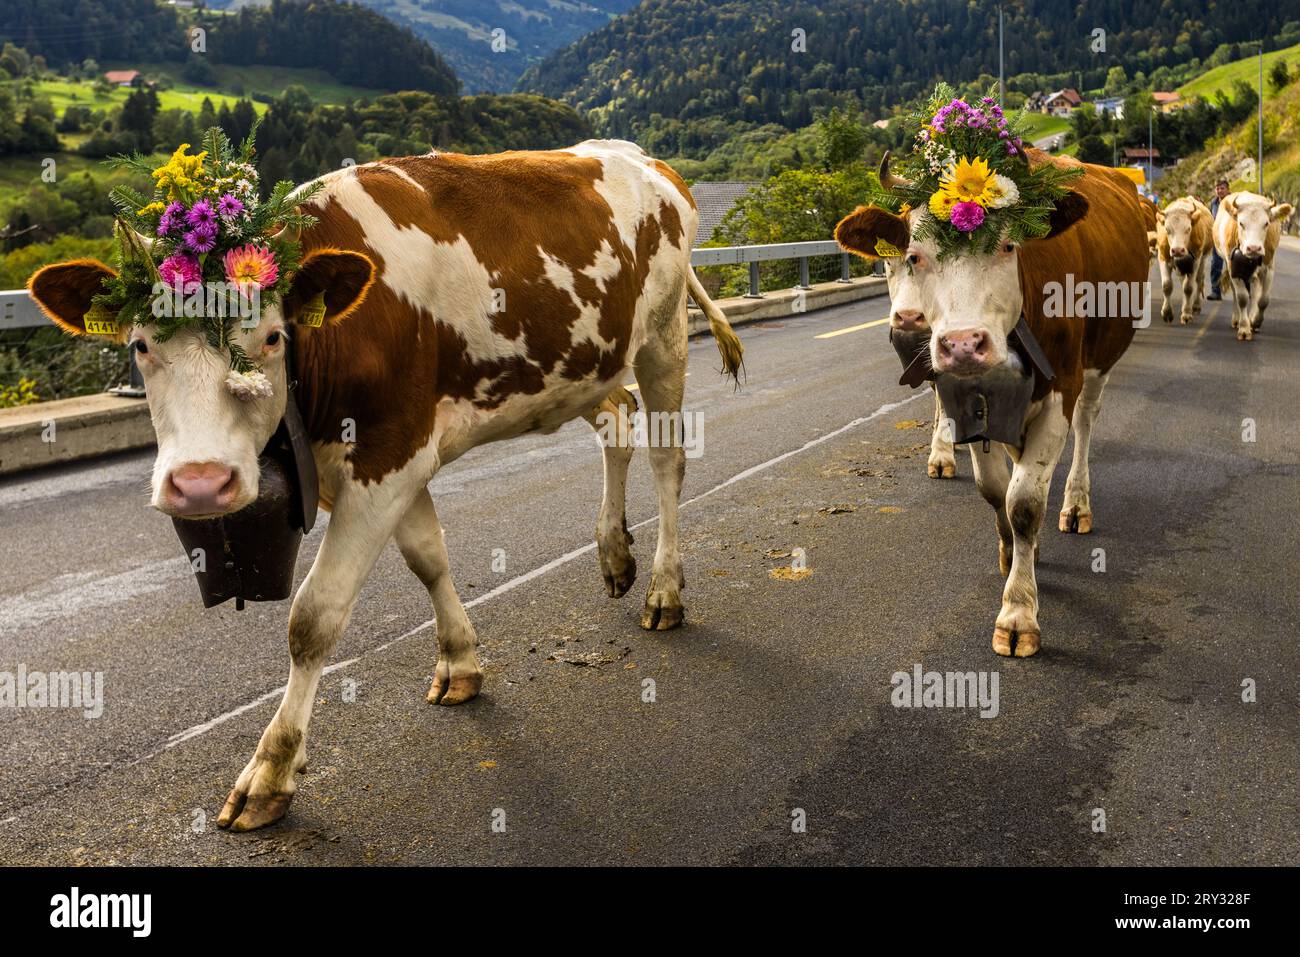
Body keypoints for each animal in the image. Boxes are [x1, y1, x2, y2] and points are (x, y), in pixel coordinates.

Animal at [28, 139, 744, 831]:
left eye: (272, 337)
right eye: (141, 345)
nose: (201, 482)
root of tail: (645, 158)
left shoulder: (388, 456)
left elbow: (313, 618)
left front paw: (270, 774)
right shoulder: (388, 461)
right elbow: (428, 556)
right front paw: (460, 662)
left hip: (664, 336)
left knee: (668, 462)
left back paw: (663, 590)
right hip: (587, 365)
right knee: (617, 423)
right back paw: (614, 555)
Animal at [836, 149, 1149, 658]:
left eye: (1007, 247)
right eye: (914, 256)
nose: (963, 344)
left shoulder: (1060, 389)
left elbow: (1024, 502)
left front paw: (1018, 613)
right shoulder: (966, 396)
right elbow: (995, 489)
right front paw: (1012, 552)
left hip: (1100, 361)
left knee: (1085, 424)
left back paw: (1076, 504)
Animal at [1155, 196, 1214, 325]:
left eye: (1188, 229)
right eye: (1167, 229)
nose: (1177, 250)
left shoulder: (1195, 260)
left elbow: (1188, 288)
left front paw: (1187, 314)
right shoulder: (1162, 257)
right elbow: (1167, 286)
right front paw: (1167, 313)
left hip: (1204, 257)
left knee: (1199, 280)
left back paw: (1195, 306)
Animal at [1212, 190, 1293, 340]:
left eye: (1266, 223)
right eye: (1241, 223)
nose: (1254, 248)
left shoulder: (1269, 268)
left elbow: (1263, 300)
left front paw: (1255, 322)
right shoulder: (1234, 269)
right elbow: (1242, 298)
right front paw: (1244, 328)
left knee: (1255, 292)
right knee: (1235, 293)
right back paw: (1236, 319)